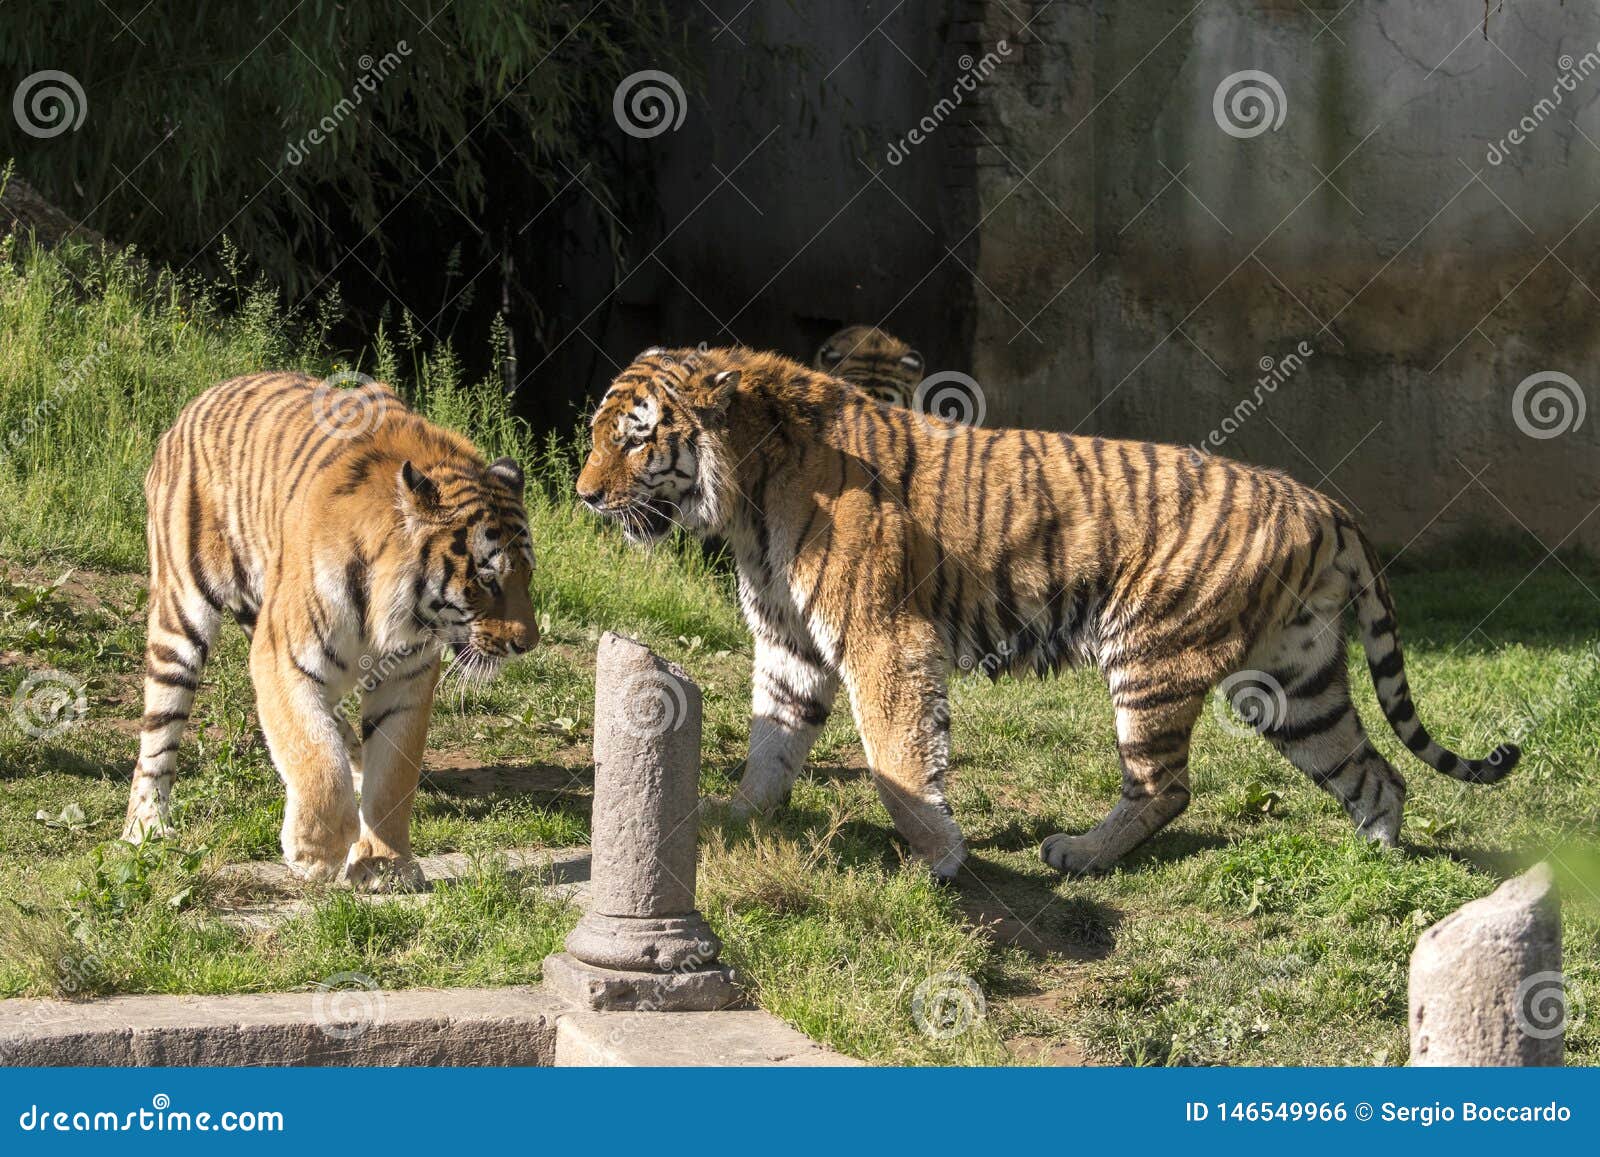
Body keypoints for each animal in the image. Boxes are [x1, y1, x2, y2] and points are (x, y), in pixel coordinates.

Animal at [123, 372, 538, 890]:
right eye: (486, 579)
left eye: (527, 574)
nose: (527, 644)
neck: (395, 613)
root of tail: (201, 399)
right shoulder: (282, 658)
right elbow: (313, 754)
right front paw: (315, 851)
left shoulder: (407, 677)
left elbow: (393, 776)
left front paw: (385, 864)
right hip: (181, 616)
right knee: (160, 732)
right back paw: (146, 826)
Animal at [575, 346, 1519, 880]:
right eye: (593, 434)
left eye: (634, 436)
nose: (582, 496)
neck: (745, 496)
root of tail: (1324, 502)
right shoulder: (790, 646)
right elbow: (771, 744)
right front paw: (731, 819)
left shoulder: (884, 639)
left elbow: (897, 756)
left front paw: (943, 855)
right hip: (1295, 679)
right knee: (1374, 769)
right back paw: (1378, 859)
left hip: (1152, 653)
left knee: (1166, 785)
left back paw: (1079, 855)